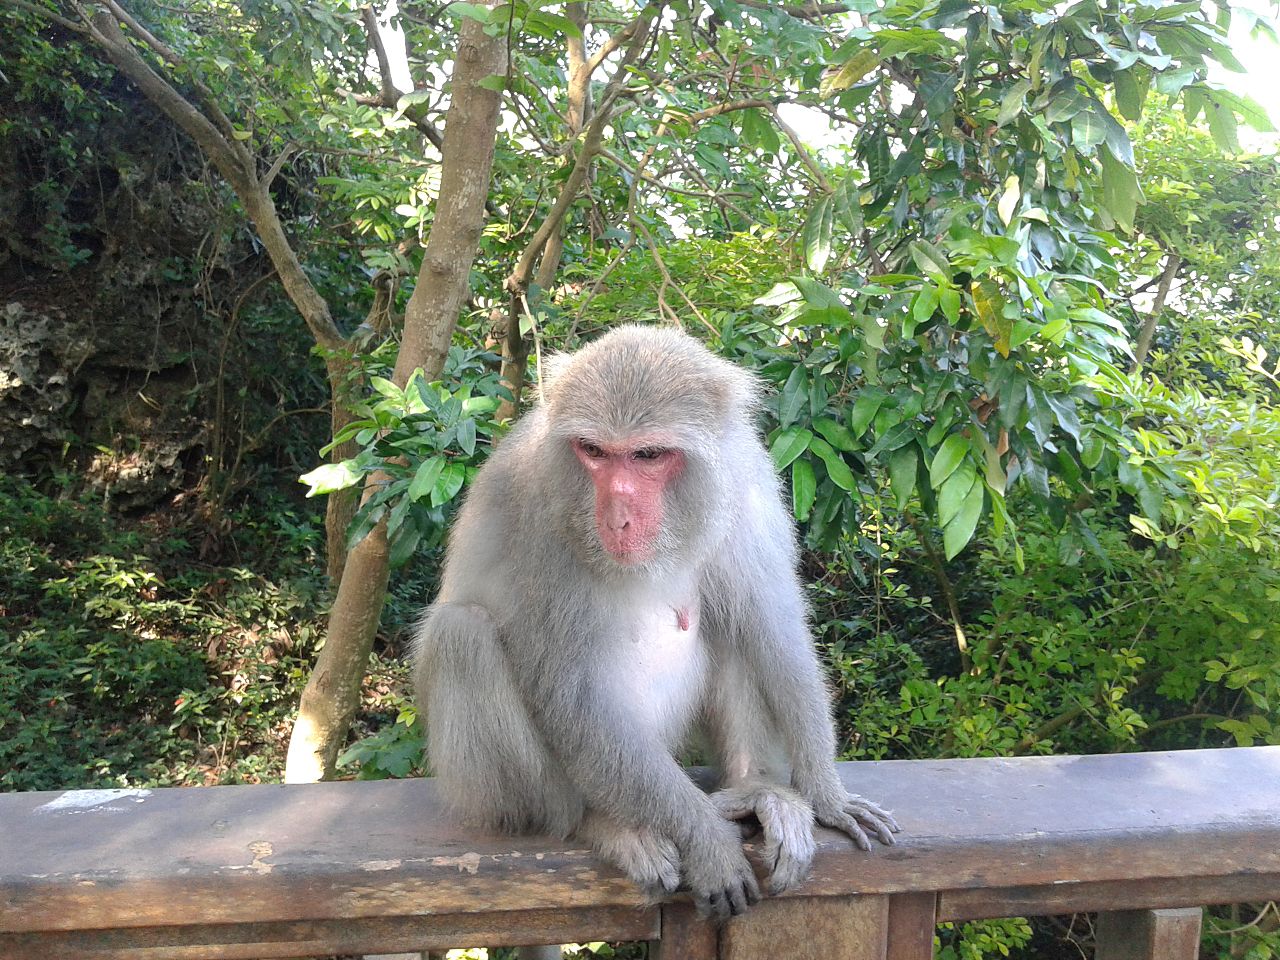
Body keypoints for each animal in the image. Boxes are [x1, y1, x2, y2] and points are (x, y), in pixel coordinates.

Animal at [413, 325, 898, 920]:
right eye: (594, 451)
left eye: (647, 454)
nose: (617, 514)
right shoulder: (538, 513)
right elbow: (570, 691)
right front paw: (706, 839)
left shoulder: (747, 480)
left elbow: (772, 623)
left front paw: (828, 794)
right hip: (528, 786)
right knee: (463, 637)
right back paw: (604, 824)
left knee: (730, 619)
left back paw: (755, 791)